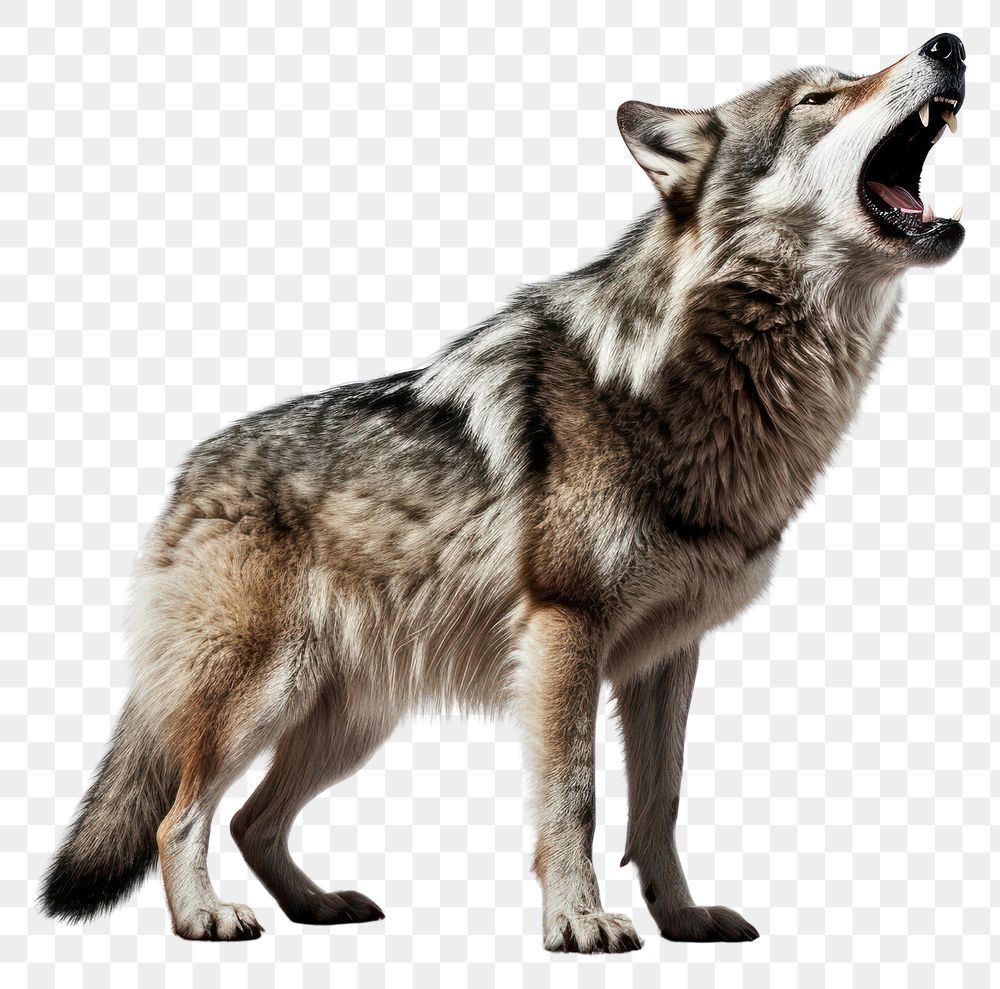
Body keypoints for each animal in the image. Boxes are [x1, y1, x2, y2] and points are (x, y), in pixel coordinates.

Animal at [40, 34, 966, 951]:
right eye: (818, 99)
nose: (949, 43)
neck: (694, 383)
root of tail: (186, 474)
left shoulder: (666, 657)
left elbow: (660, 803)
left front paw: (682, 917)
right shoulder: (565, 628)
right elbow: (576, 796)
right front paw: (579, 920)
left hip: (349, 725)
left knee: (252, 820)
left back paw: (317, 905)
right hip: (263, 695)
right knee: (181, 815)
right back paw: (205, 916)